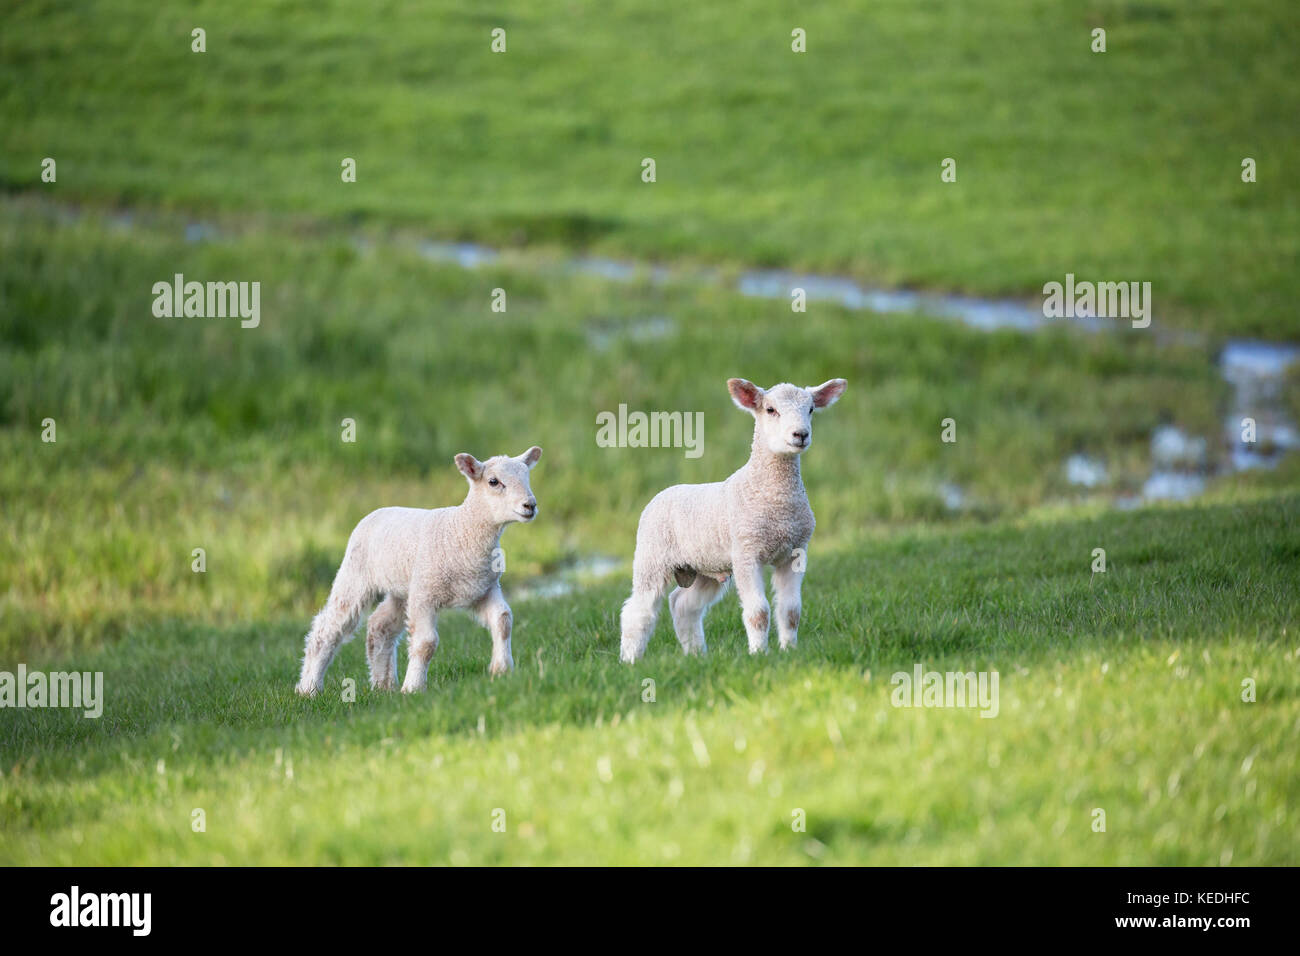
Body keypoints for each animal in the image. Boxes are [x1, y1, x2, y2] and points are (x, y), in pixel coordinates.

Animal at [295, 446, 543, 696]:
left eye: (527, 476)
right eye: (493, 481)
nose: (530, 505)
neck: (462, 530)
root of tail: (375, 512)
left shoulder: (484, 589)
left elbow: (503, 621)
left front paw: (502, 670)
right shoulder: (425, 595)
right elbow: (426, 643)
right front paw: (413, 687)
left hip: (403, 590)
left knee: (379, 626)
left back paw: (383, 686)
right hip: (355, 575)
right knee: (327, 628)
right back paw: (309, 688)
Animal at [618, 378, 846, 662]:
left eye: (812, 409)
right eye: (770, 410)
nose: (801, 434)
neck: (778, 503)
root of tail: (661, 494)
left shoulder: (795, 552)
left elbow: (791, 611)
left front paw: (789, 651)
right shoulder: (746, 552)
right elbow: (759, 613)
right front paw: (759, 653)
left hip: (704, 567)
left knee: (683, 604)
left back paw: (696, 656)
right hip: (652, 555)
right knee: (637, 610)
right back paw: (630, 660)